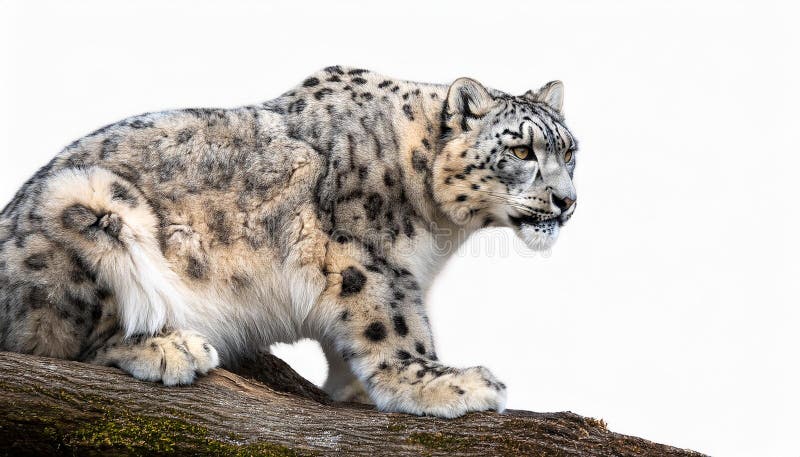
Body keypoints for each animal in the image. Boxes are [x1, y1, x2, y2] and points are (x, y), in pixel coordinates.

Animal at [0, 66, 577, 418]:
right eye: (522, 150)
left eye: (570, 151)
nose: (566, 201)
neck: (439, 230)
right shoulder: (365, 257)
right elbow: (395, 324)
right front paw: (442, 382)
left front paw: (354, 392)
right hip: (89, 206)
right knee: (62, 346)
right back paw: (170, 346)